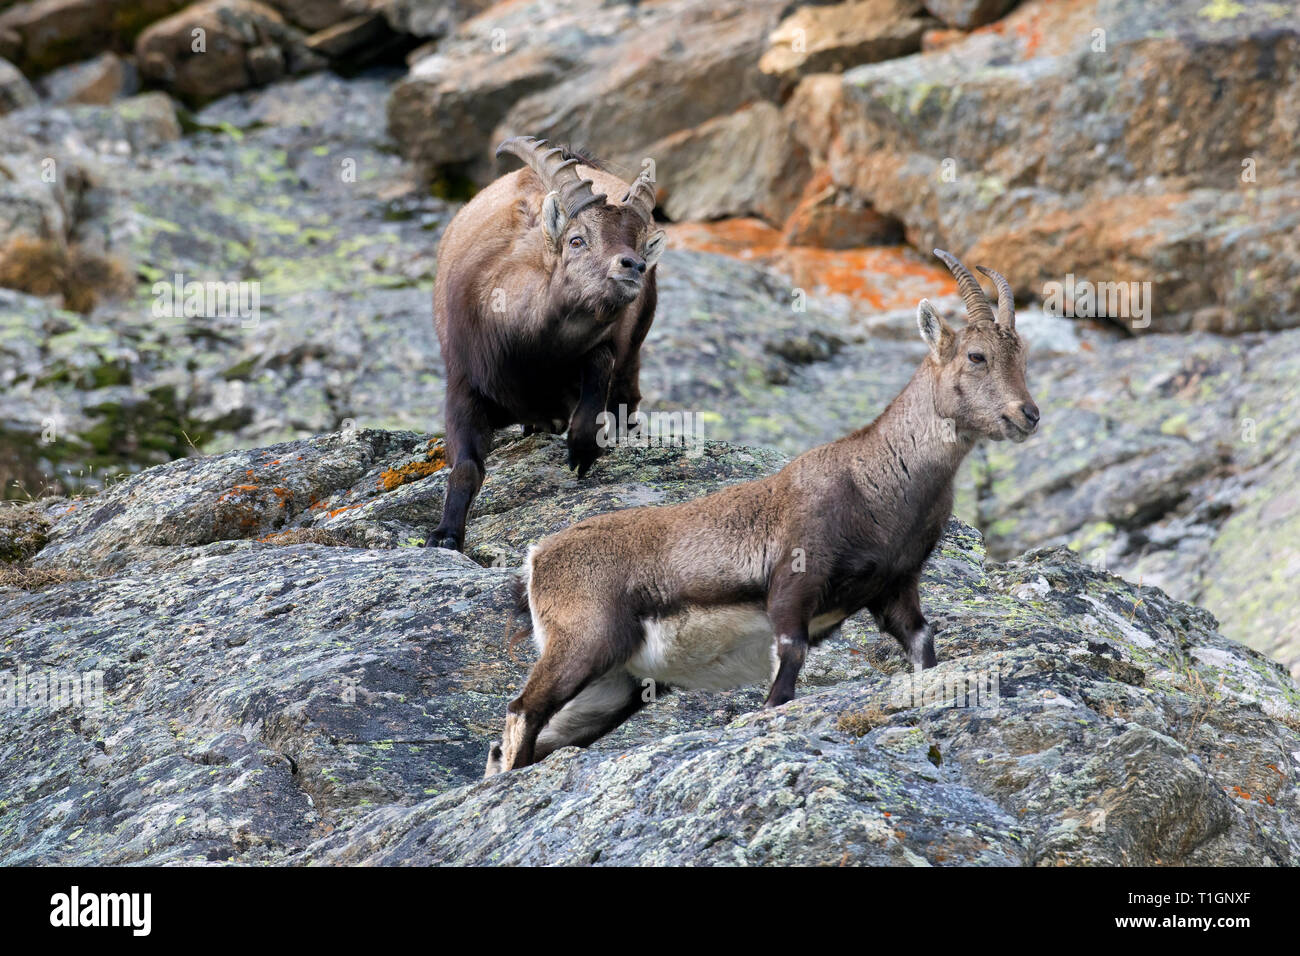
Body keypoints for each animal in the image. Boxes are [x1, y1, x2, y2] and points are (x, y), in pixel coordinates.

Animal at [429, 136, 666, 550]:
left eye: (638, 243)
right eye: (577, 239)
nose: (633, 266)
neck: (531, 350)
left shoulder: (604, 341)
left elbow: (596, 385)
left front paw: (583, 452)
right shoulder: (462, 382)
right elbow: (466, 467)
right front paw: (444, 536)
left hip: (637, 340)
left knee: (627, 394)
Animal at [485, 251, 1041, 775]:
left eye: (1022, 357)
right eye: (977, 355)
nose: (1028, 415)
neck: (876, 478)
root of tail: (537, 559)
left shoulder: (895, 587)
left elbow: (922, 643)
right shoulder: (794, 580)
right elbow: (786, 673)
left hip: (613, 683)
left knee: (516, 738)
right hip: (582, 643)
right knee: (522, 711)